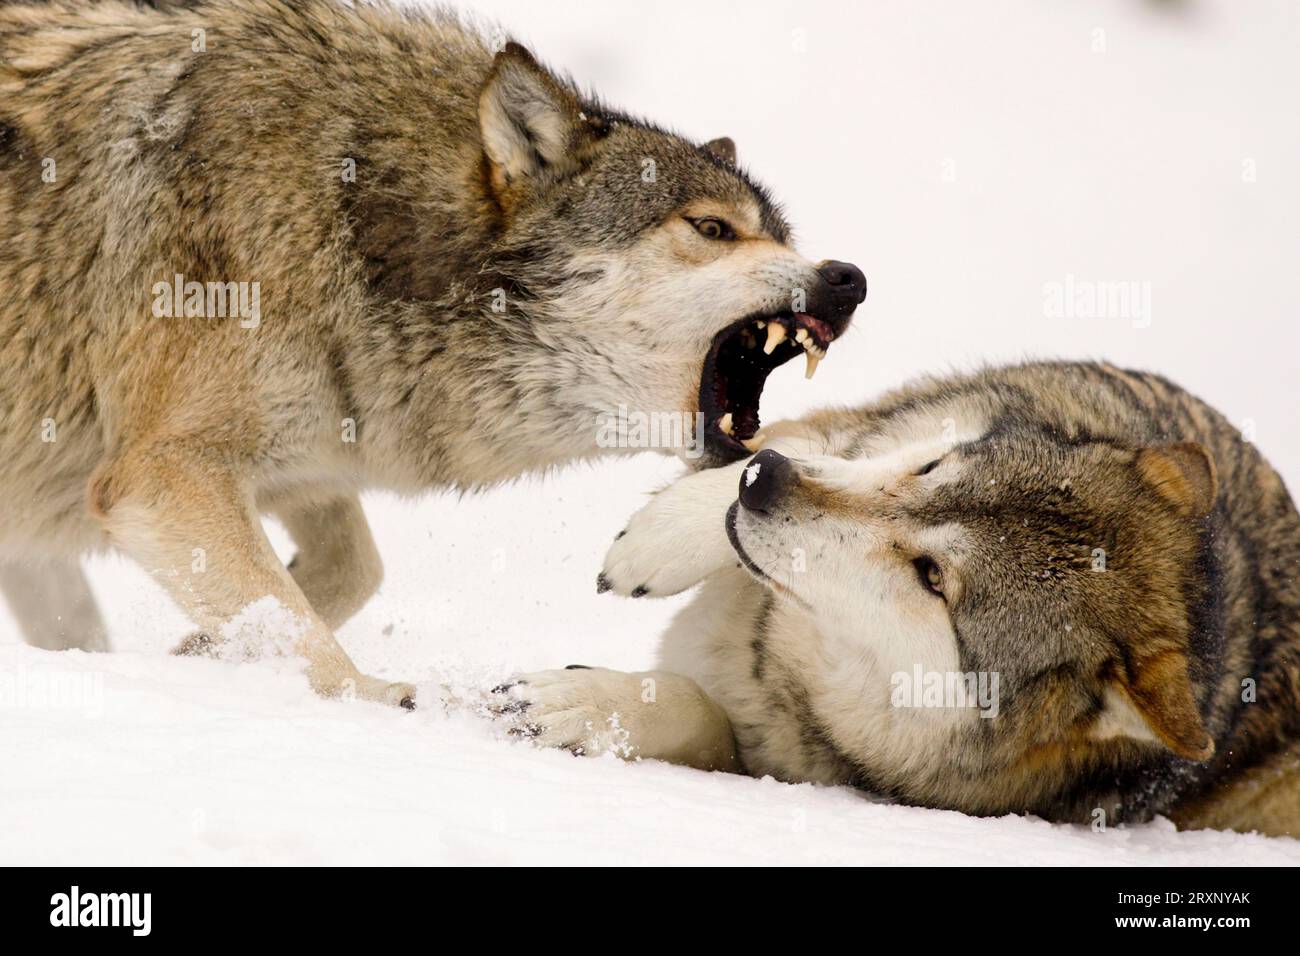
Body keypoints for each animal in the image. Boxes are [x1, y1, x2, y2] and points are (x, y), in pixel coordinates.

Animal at [0, 0, 865, 705]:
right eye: (713, 229)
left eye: (780, 235)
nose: (848, 279)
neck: (355, 221)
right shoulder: (162, 476)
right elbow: (289, 609)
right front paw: (365, 698)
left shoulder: (305, 451)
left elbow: (343, 574)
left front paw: (205, 655)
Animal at [496, 361, 1300, 837]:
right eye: (932, 465)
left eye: (932, 579)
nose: (762, 483)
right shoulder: (876, 425)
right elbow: (825, 440)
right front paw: (661, 538)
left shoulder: (784, 764)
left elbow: (700, 713)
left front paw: (569, 705)